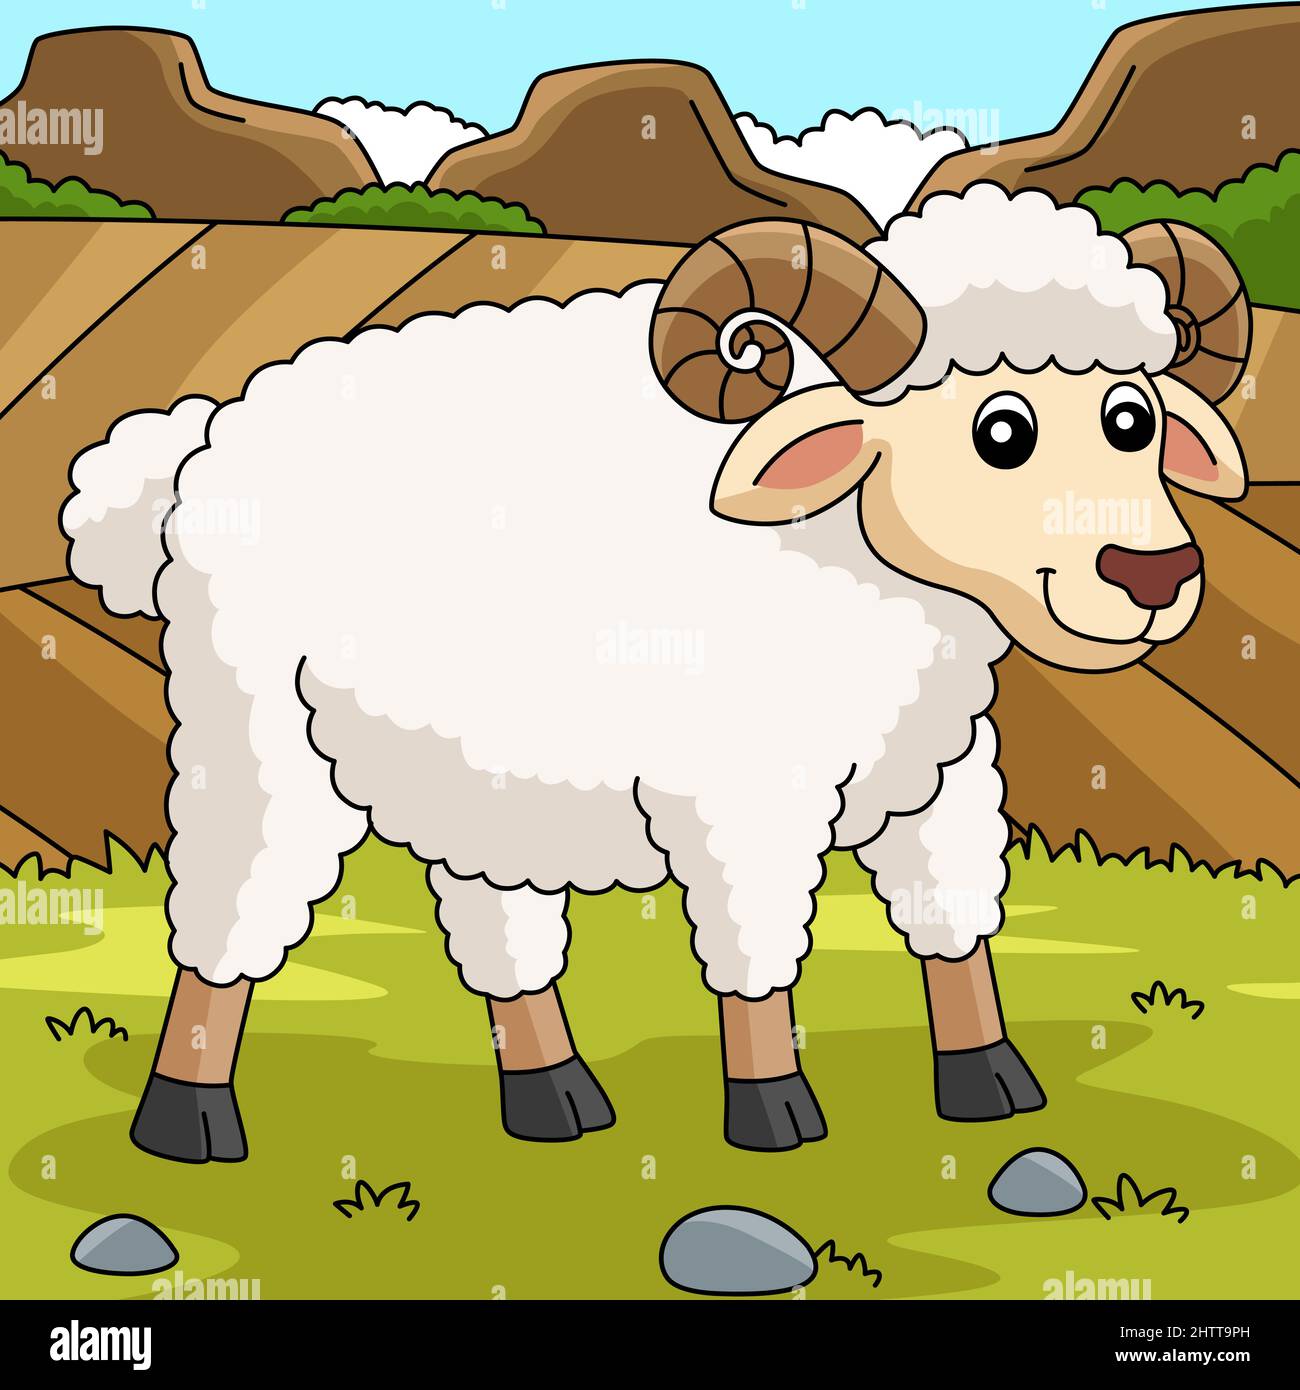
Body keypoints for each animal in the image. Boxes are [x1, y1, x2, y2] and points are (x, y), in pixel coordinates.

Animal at [60, 184, 1250, 1160]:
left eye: (1133, 419)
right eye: (1001, 431)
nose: (1153, 574)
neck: (856, 557)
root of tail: (198, 447)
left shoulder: (935, 772)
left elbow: (953, 923)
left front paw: (989, 1079)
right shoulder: (748, 796)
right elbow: (757, 947)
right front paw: (773, 1110)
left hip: (481, 773)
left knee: (499, 930)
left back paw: (553, 1095)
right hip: (258, 737)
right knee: (229, 914)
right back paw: (186, 1117)